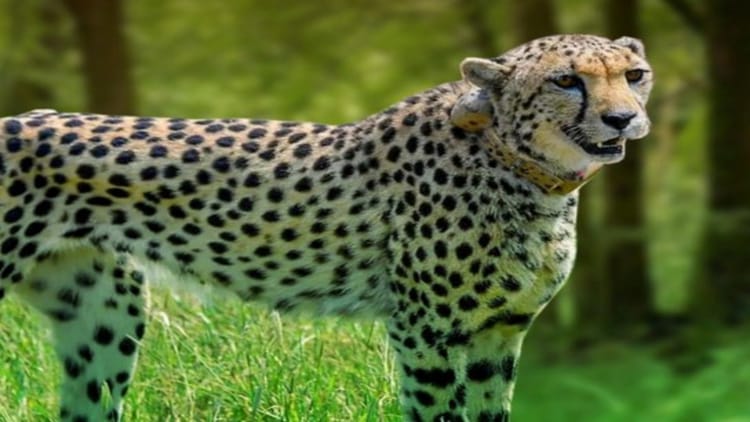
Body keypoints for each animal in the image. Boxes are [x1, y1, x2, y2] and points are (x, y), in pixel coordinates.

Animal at [0, 34, 652, 421]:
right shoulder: (426, 331)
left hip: (105, 312)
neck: (525, 169)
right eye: (566, 80)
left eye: (635, 74)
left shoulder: (500, 332)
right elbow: (437, 410)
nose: (624, 118)